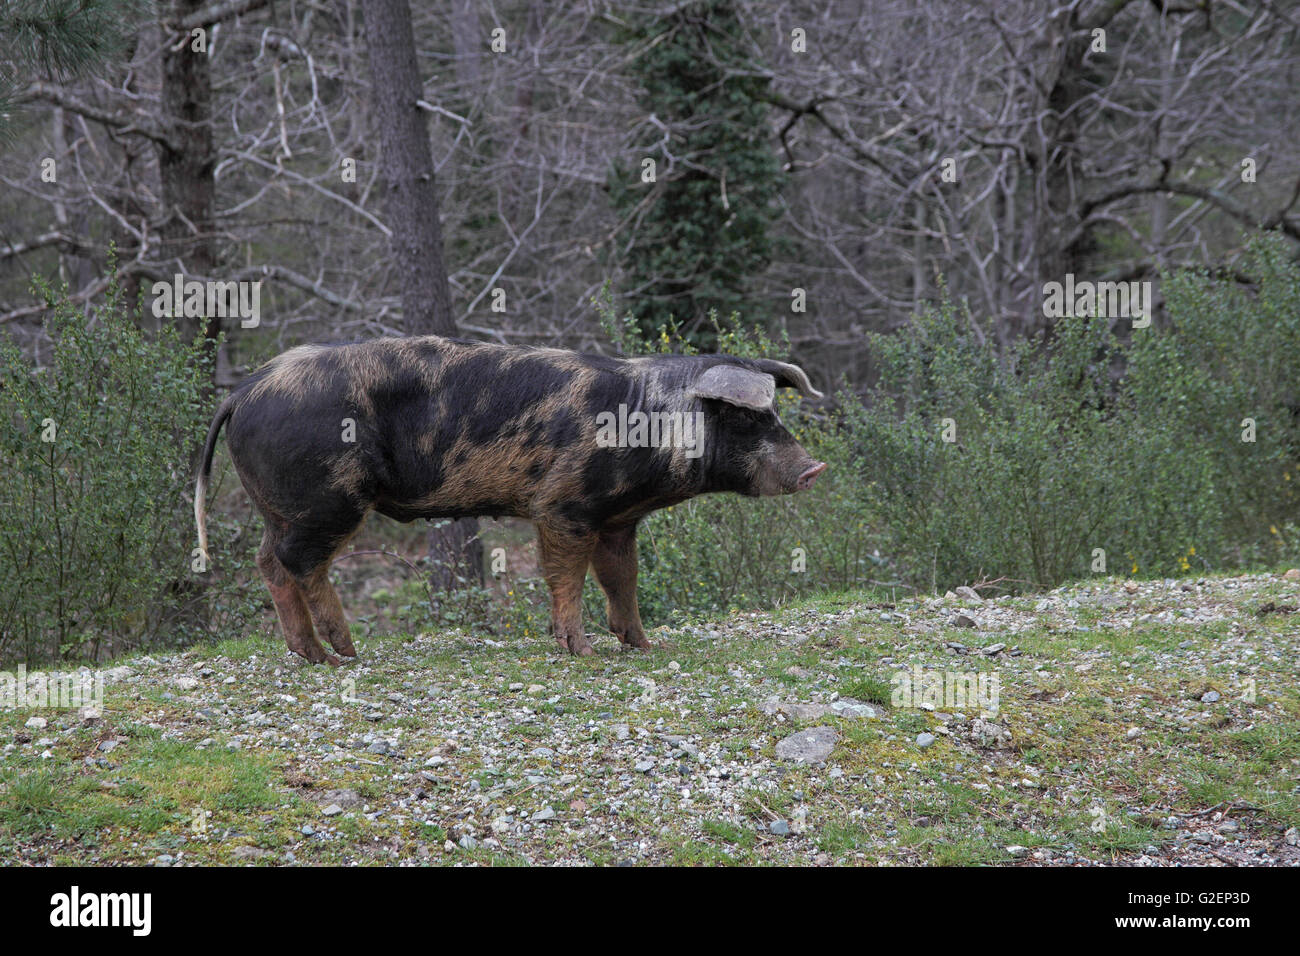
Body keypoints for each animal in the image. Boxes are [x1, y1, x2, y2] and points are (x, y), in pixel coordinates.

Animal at [194, 336, 826, 663]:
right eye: (745, 417)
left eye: (773, 412)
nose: (813, 468)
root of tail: (245, 391)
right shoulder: (563, 506)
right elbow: (567, 578)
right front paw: (582, 652)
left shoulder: (617, 518)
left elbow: (622, 579)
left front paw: (645, 646)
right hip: (328, 498)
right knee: (301, 563)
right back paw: (347, 653)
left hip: (280, 506)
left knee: (267, 562)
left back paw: (311, 655)